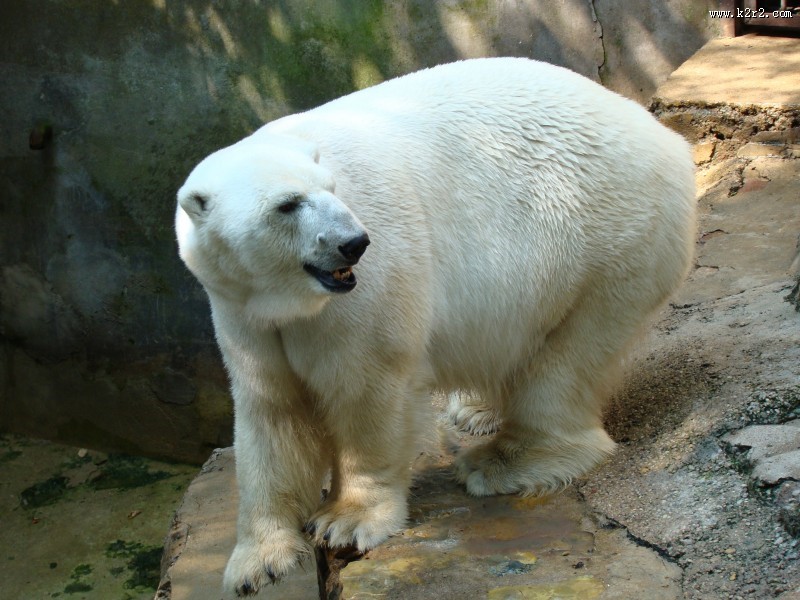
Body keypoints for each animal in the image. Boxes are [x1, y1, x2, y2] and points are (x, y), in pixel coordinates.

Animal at [175, 57, 696, 596]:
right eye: (287, 204)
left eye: (331, 188)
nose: (353, 243)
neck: (291, 300)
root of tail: (665, 137)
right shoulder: (242, 311)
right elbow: (271, 410)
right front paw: (257, 562)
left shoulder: (365, 296)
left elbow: (365, 390)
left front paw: (346, 520)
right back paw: (475, 410)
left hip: (606, 240)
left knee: (568, 359)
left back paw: (502, 461)